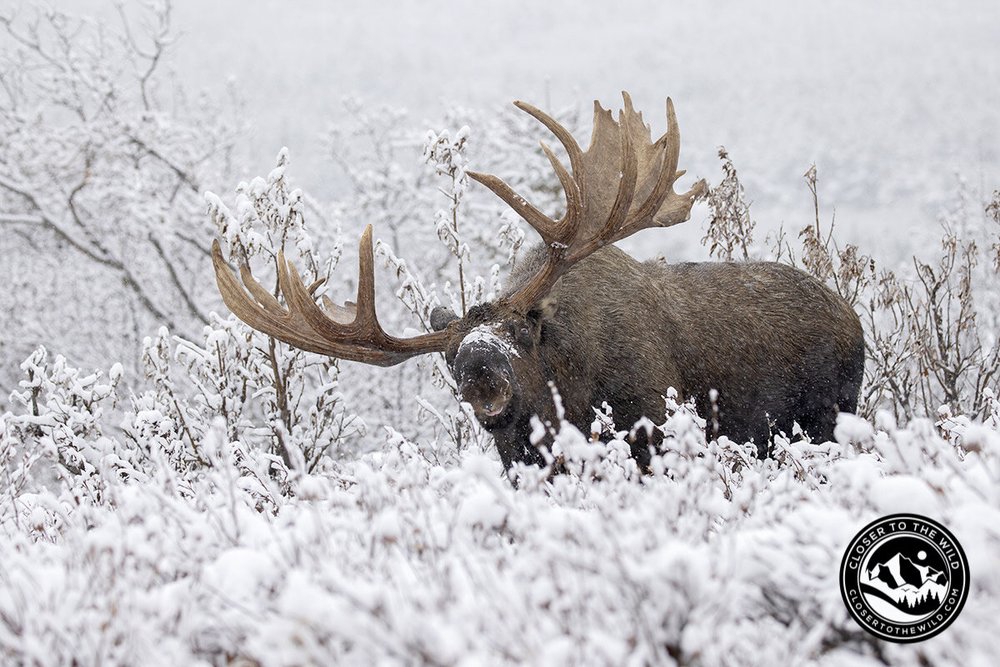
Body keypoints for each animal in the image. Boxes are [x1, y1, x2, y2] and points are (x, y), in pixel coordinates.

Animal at [212, 92, 865, 475]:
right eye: (448, 353)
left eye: (521, 332)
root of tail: (854, 321)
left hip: (829, 418)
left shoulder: (659, 430)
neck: (569, 393)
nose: (479, 363)